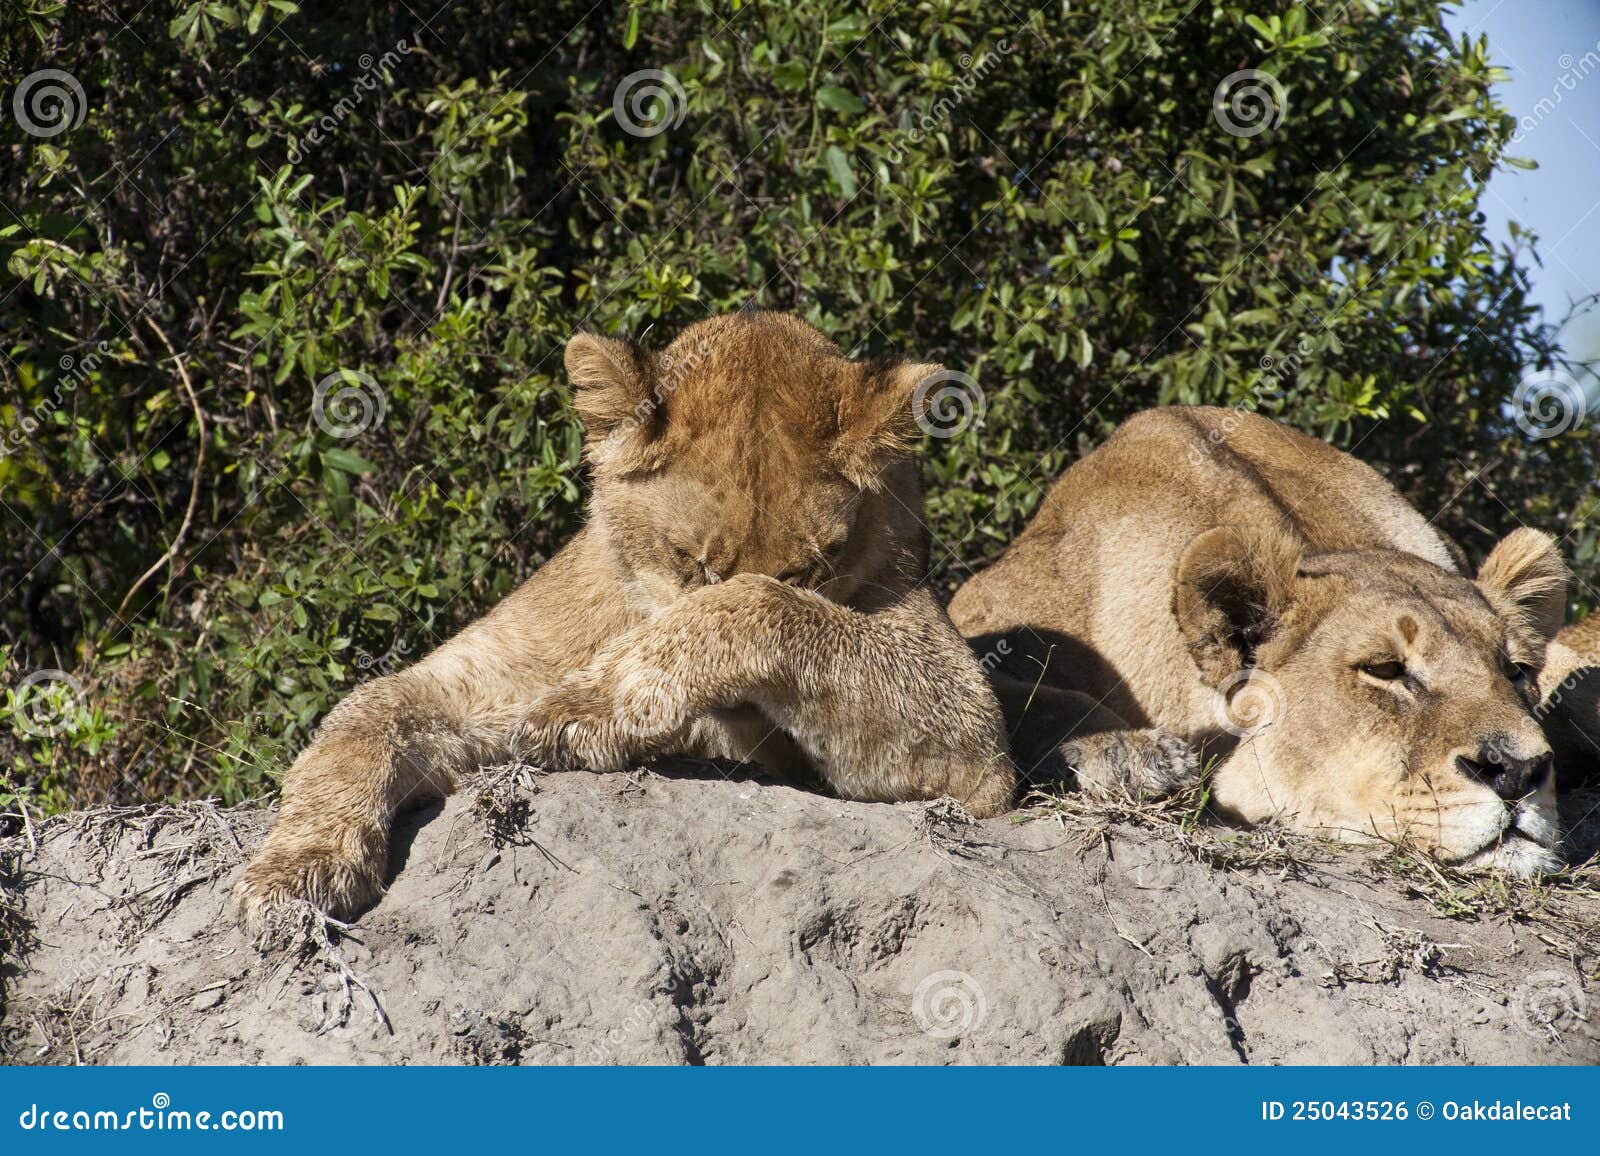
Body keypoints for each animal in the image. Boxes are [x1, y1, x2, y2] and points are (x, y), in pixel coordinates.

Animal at [236, 312, 1186, 922]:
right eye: (688, 559)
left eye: (813, 569)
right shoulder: (475, 681)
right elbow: (361, 717)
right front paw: (296, 870)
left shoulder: (962, 723)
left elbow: (760, 611)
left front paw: (588, 707)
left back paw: (1139, 754)